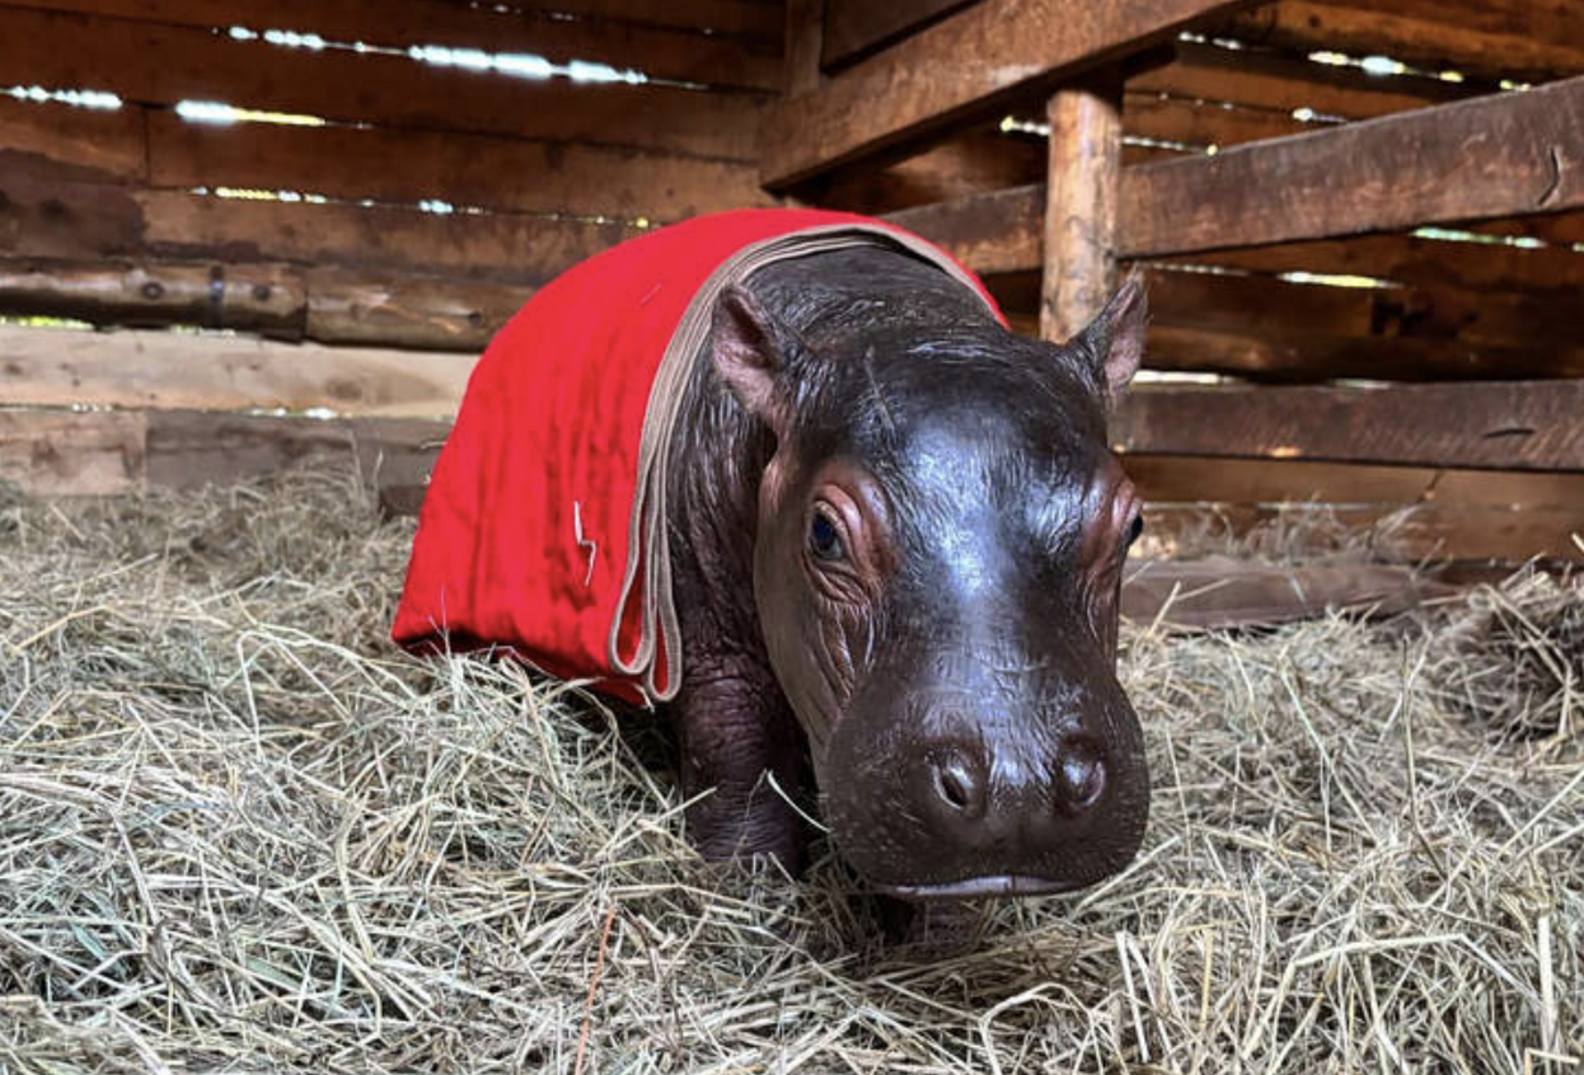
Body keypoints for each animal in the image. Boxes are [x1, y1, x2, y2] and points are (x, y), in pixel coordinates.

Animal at [394, 210, 1149, 909]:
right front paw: (748, 891)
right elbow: (735, 744)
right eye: (824, 532)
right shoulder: (708, 637)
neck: (889, 317)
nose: (1021, 784)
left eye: (1133, 523)